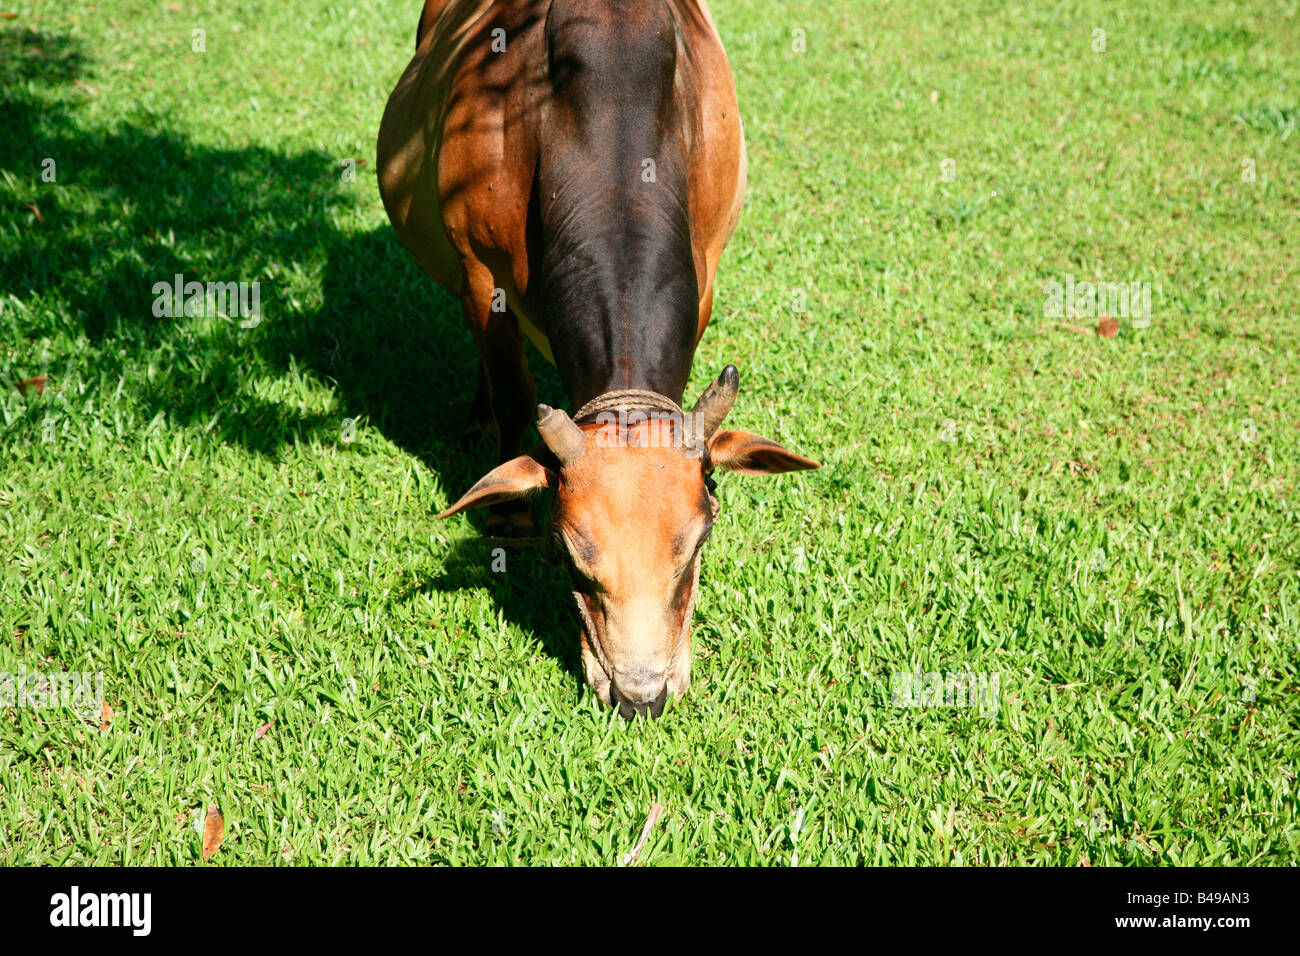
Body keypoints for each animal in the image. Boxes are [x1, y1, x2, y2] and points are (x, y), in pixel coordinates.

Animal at [377, 0, 819, 718]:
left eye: (698, 544)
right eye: (567, 554)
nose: (641, 696)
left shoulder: (706, 268)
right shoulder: (478, 272)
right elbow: (513, 392)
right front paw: (507, 515)